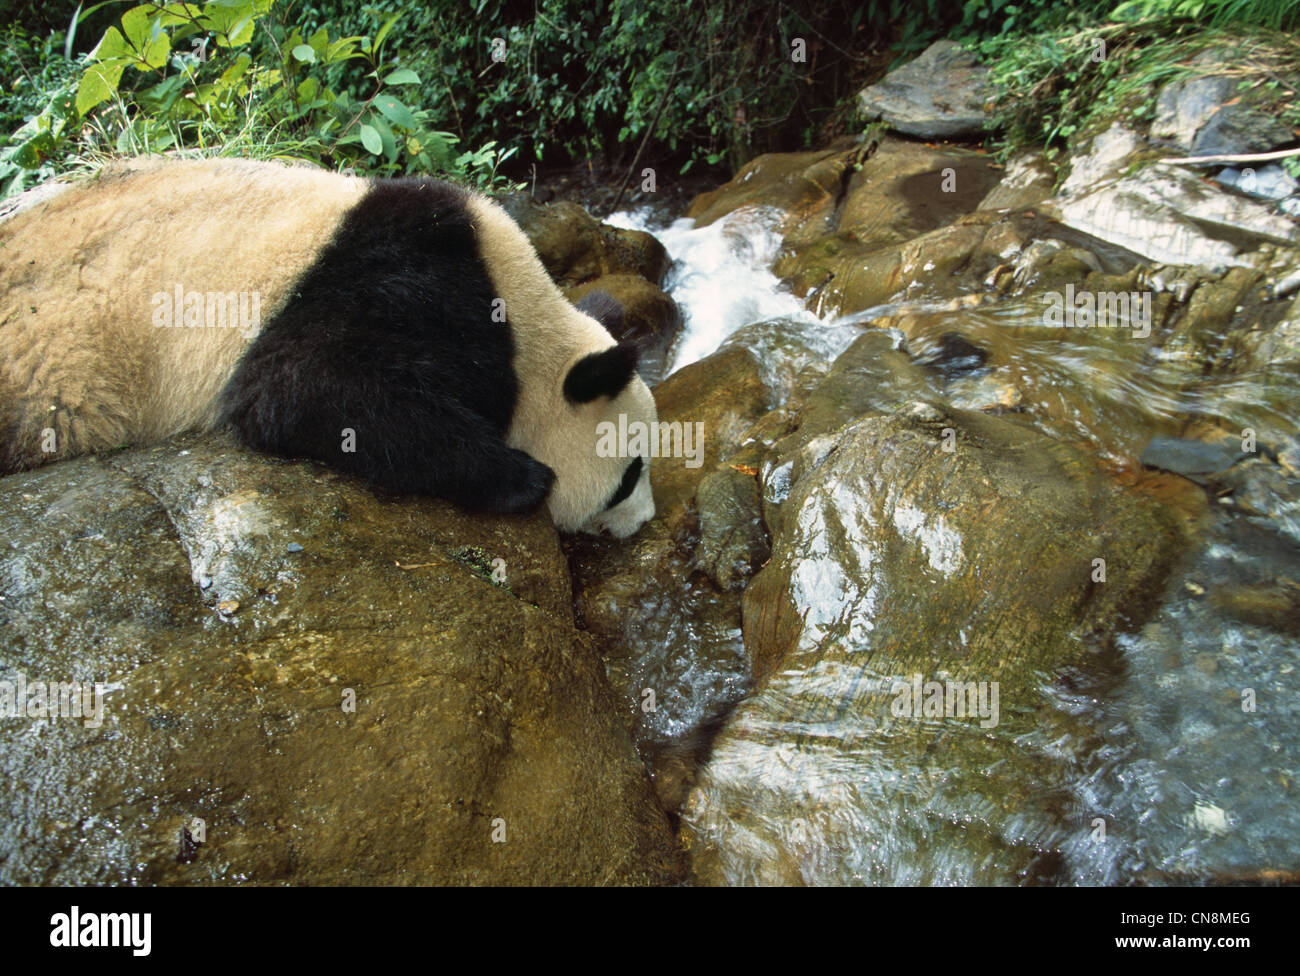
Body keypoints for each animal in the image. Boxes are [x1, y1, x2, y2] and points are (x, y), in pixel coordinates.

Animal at [0, 156, 656, 538]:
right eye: (630, 474)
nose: (644, 522)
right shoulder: (396, 282)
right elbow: (297, 390)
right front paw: (521, 476)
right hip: (55, 367)